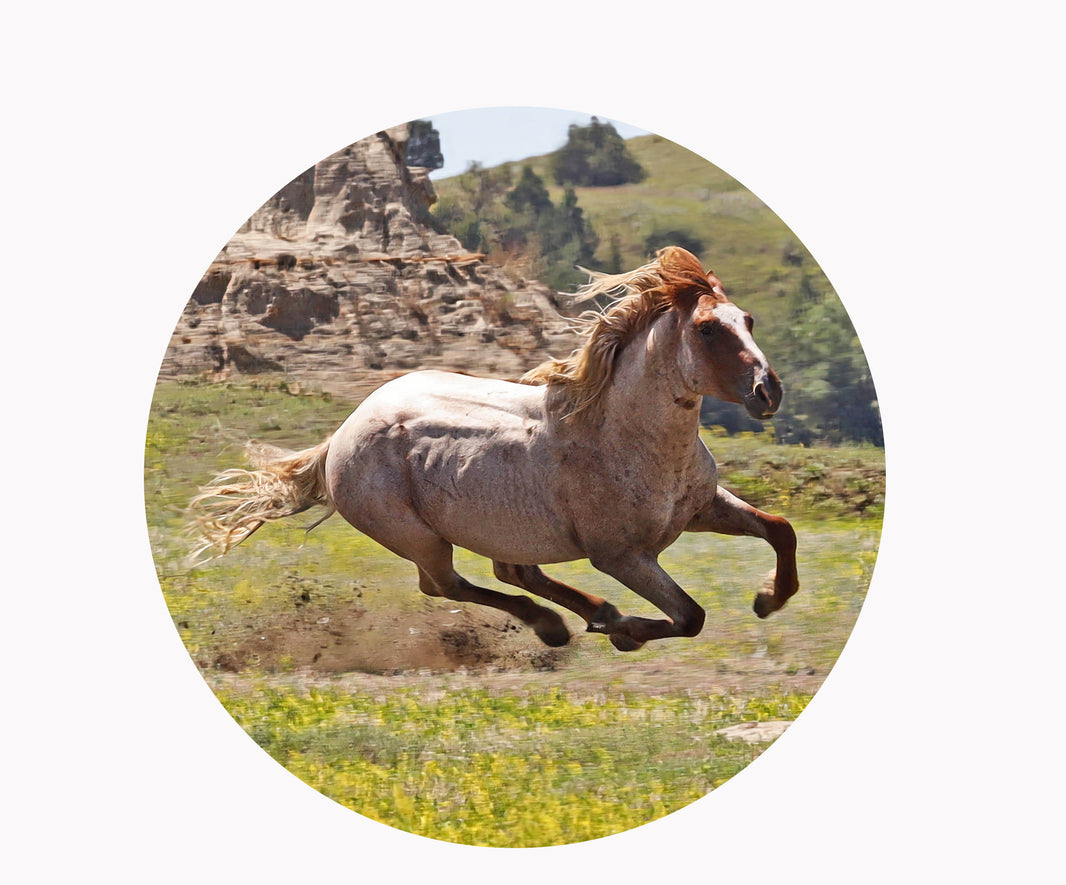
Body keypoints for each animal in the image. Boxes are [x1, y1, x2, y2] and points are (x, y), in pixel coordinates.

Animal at [188, 247, 799, 652]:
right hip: (418, 537)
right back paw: (558, 627)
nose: (768, 391)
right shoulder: (621, 554)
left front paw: (768, 598)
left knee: (512, 573)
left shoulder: (702, 508)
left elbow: (779, 529)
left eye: (747, 319)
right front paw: (627, 634)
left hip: (503, 528)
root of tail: (343, 434)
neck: (626, 437)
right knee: (445, 584)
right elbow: (690, 616)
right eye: (707, 329)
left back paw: (591, 614)